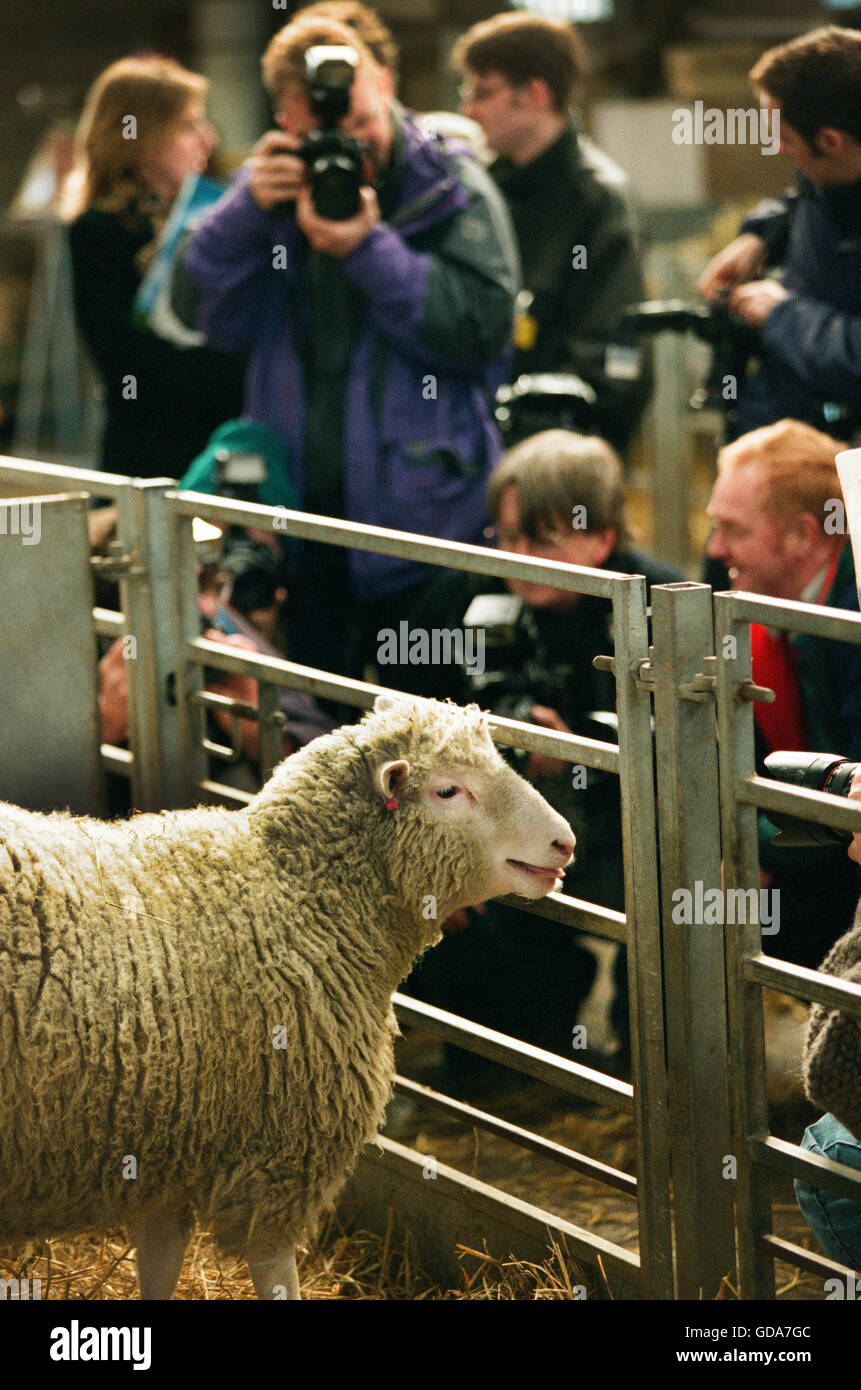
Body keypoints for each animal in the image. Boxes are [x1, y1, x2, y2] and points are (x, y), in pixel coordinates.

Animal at [0, 694, 574, 1301]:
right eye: (448, 790)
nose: (564, 841)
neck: (295, 896)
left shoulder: (167, 1145)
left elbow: (161, 1261)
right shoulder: (281, 1151)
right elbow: (274, 1267)